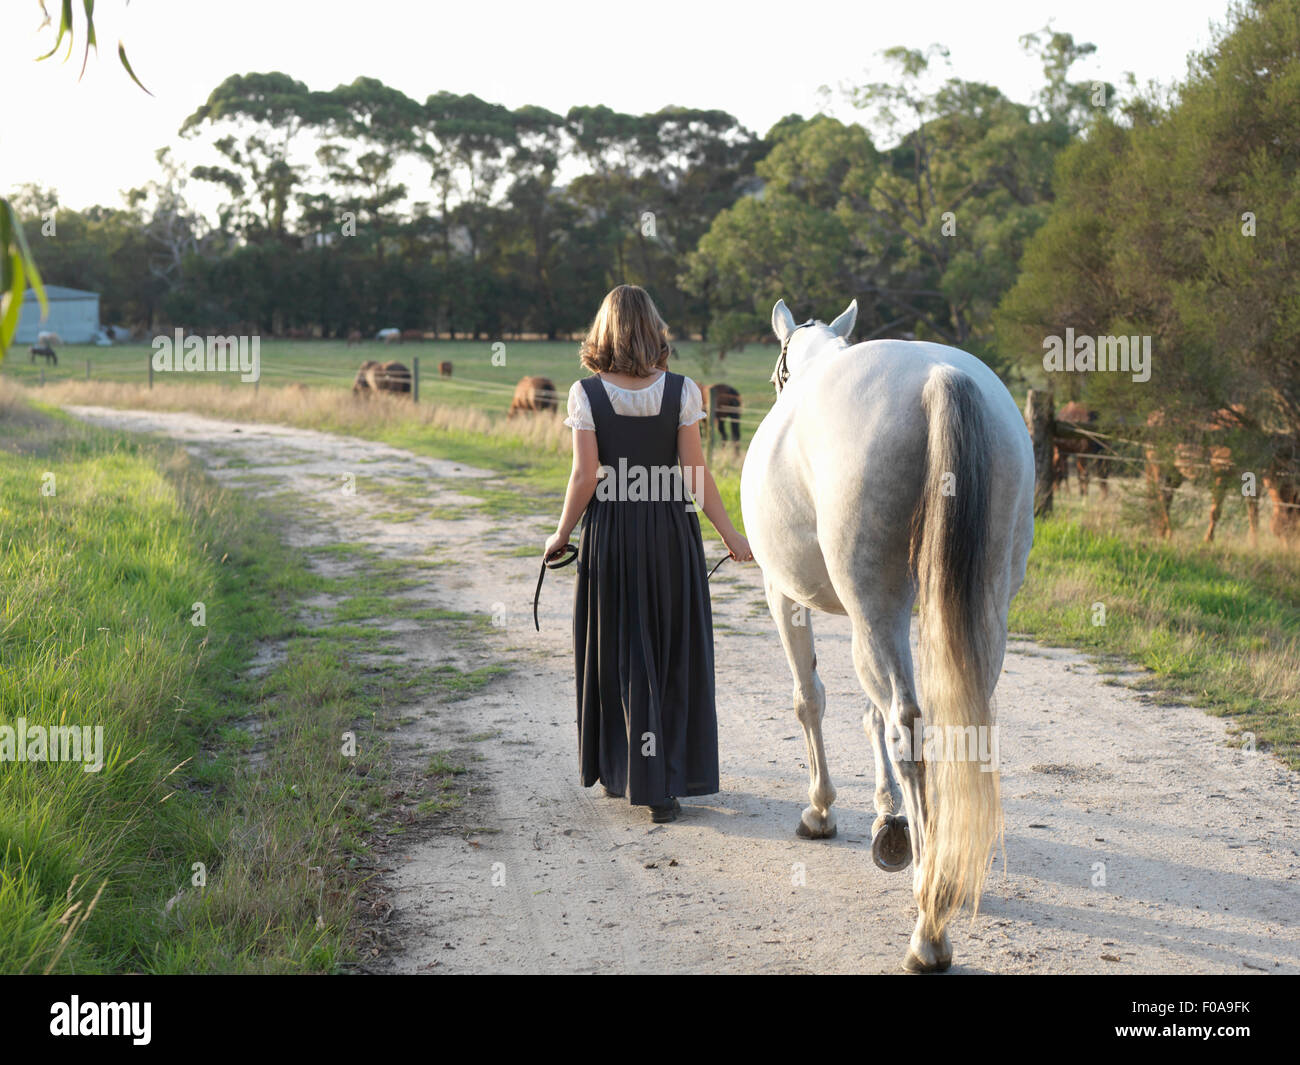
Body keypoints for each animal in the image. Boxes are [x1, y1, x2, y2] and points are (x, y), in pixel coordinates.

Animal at [740, 298, 1035, 973]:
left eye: (777, 371)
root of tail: (937, 378)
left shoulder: (784, 596)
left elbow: (811, 699)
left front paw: (822, 810)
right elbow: (868, 714)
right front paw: (887, 820)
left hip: (876, 606)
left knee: (908, 726)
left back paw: (929, 925)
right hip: (980, 609)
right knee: (954, 722)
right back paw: (943, 874)